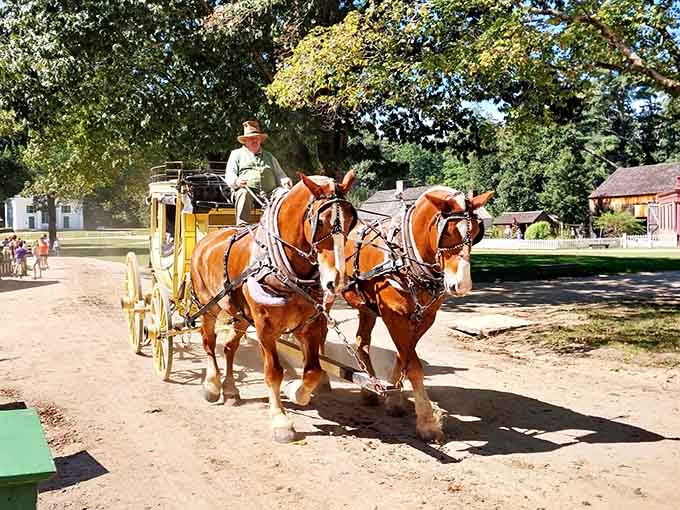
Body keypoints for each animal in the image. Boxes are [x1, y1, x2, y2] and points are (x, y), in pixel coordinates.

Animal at [190, 171, 357, 442]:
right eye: (320, 222)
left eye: (351, 221)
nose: (337, 280)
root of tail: (207, 239)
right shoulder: (265, 327)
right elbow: (273, 372)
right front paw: (281, 420)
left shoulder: (311, 324)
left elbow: (313, 371)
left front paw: (295, 390)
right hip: (208, 306)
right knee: (209, 342)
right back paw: (212, 385)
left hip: (240, 316)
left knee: (229, 348)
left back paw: (231, 390)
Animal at [343, 186, 493, 442]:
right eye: (447, 233)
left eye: (475, 233)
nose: (462, 285)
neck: (403, 255)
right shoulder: (394, 316)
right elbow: (413, 365)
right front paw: (427, 422)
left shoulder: (424, 318)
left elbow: (404, 355)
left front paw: (394, 398)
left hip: (366, 306)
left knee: (362, 342)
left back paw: (368, 388)